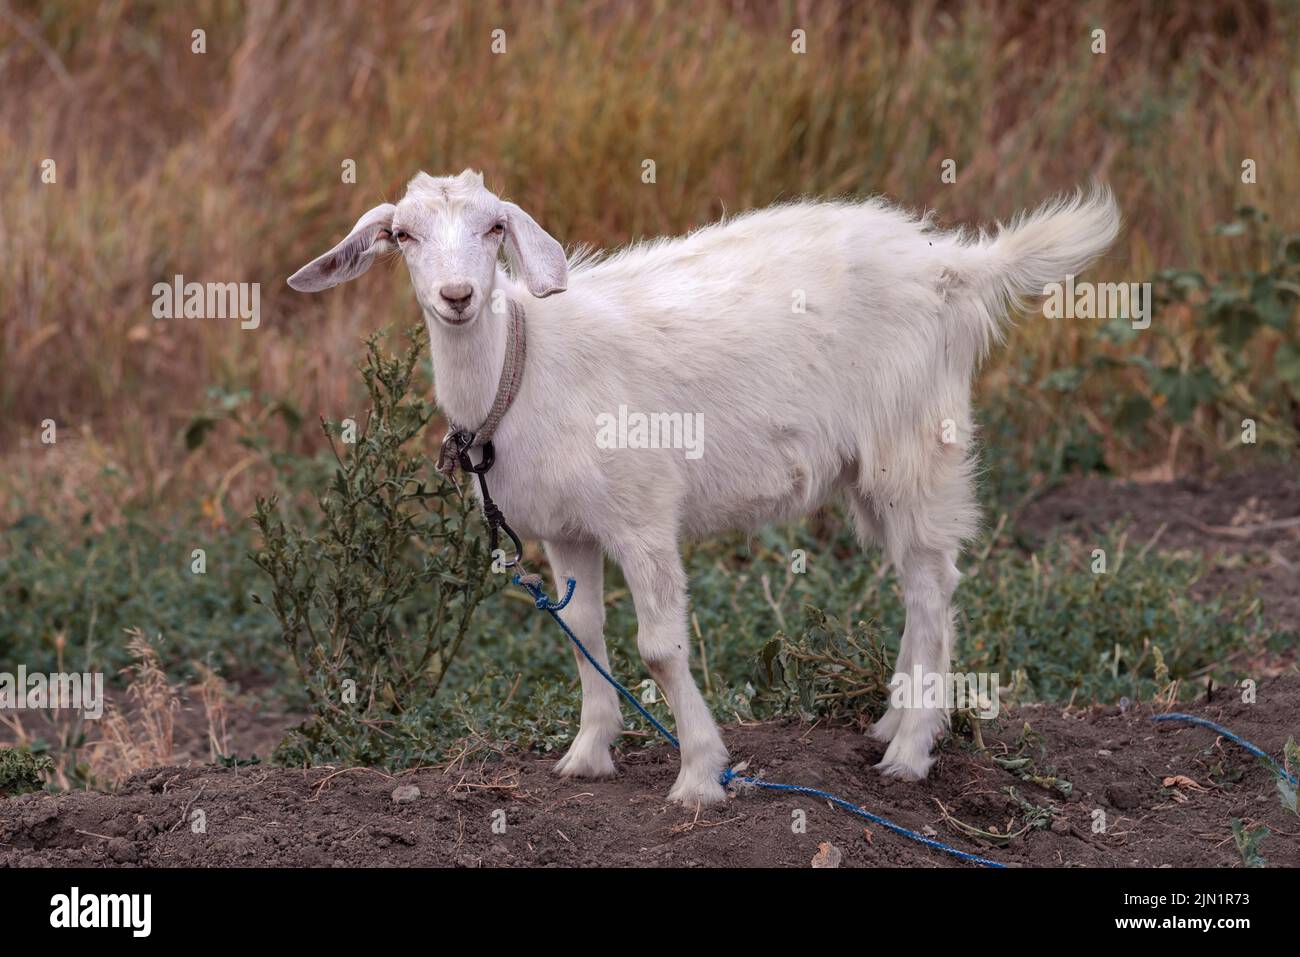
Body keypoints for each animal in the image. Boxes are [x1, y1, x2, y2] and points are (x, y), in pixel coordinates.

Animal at [289, 170, 1120, 805]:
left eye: (495, 227)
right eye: (403, 235)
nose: (458, 296)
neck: (525, 363)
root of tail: (951, 269)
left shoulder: (642, 514)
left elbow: (659, 648)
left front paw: (698, 774)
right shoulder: (567, 528)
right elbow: (582, 631)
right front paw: (587, 753)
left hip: (912, 445)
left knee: (931, 585)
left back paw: (912, 752)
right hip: (870, 468)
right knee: (918, 582)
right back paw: (894, 722)